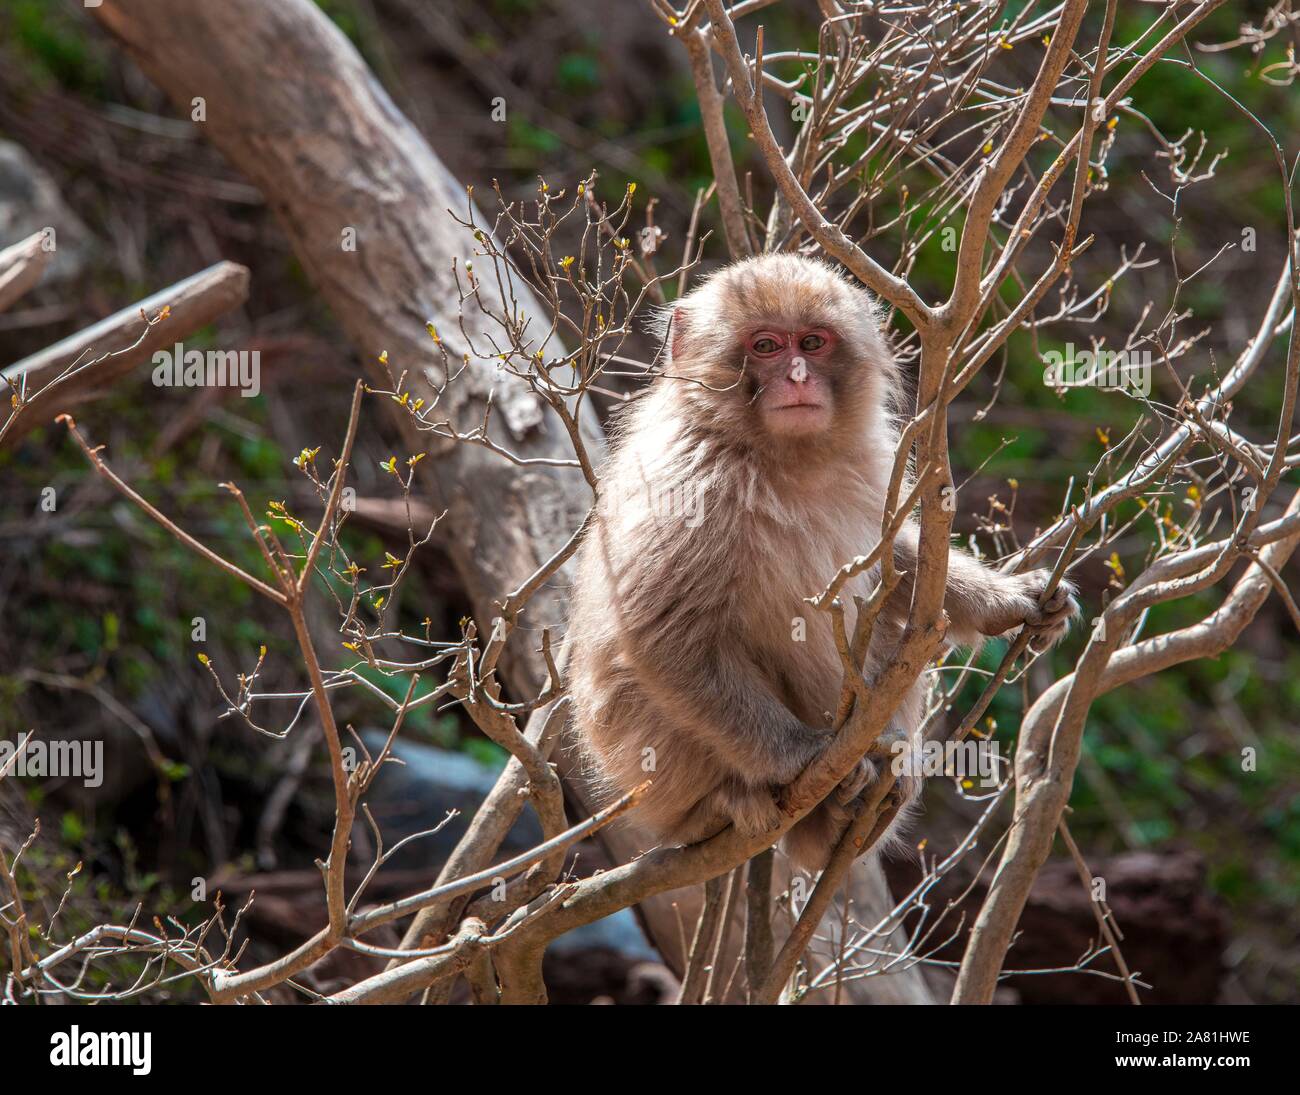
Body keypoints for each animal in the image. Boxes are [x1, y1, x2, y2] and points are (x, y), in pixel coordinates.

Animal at [567, 253, 1078, 873]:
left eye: (812, 342)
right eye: (765, 346)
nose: (797, 377)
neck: (781, 454)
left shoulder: (870, 463)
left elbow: (893, 563)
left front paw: (1007, 601)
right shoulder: (686, 479)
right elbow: (659, 635)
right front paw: (800, 757)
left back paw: (856, 810)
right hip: (658, 779)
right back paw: (740, 802)